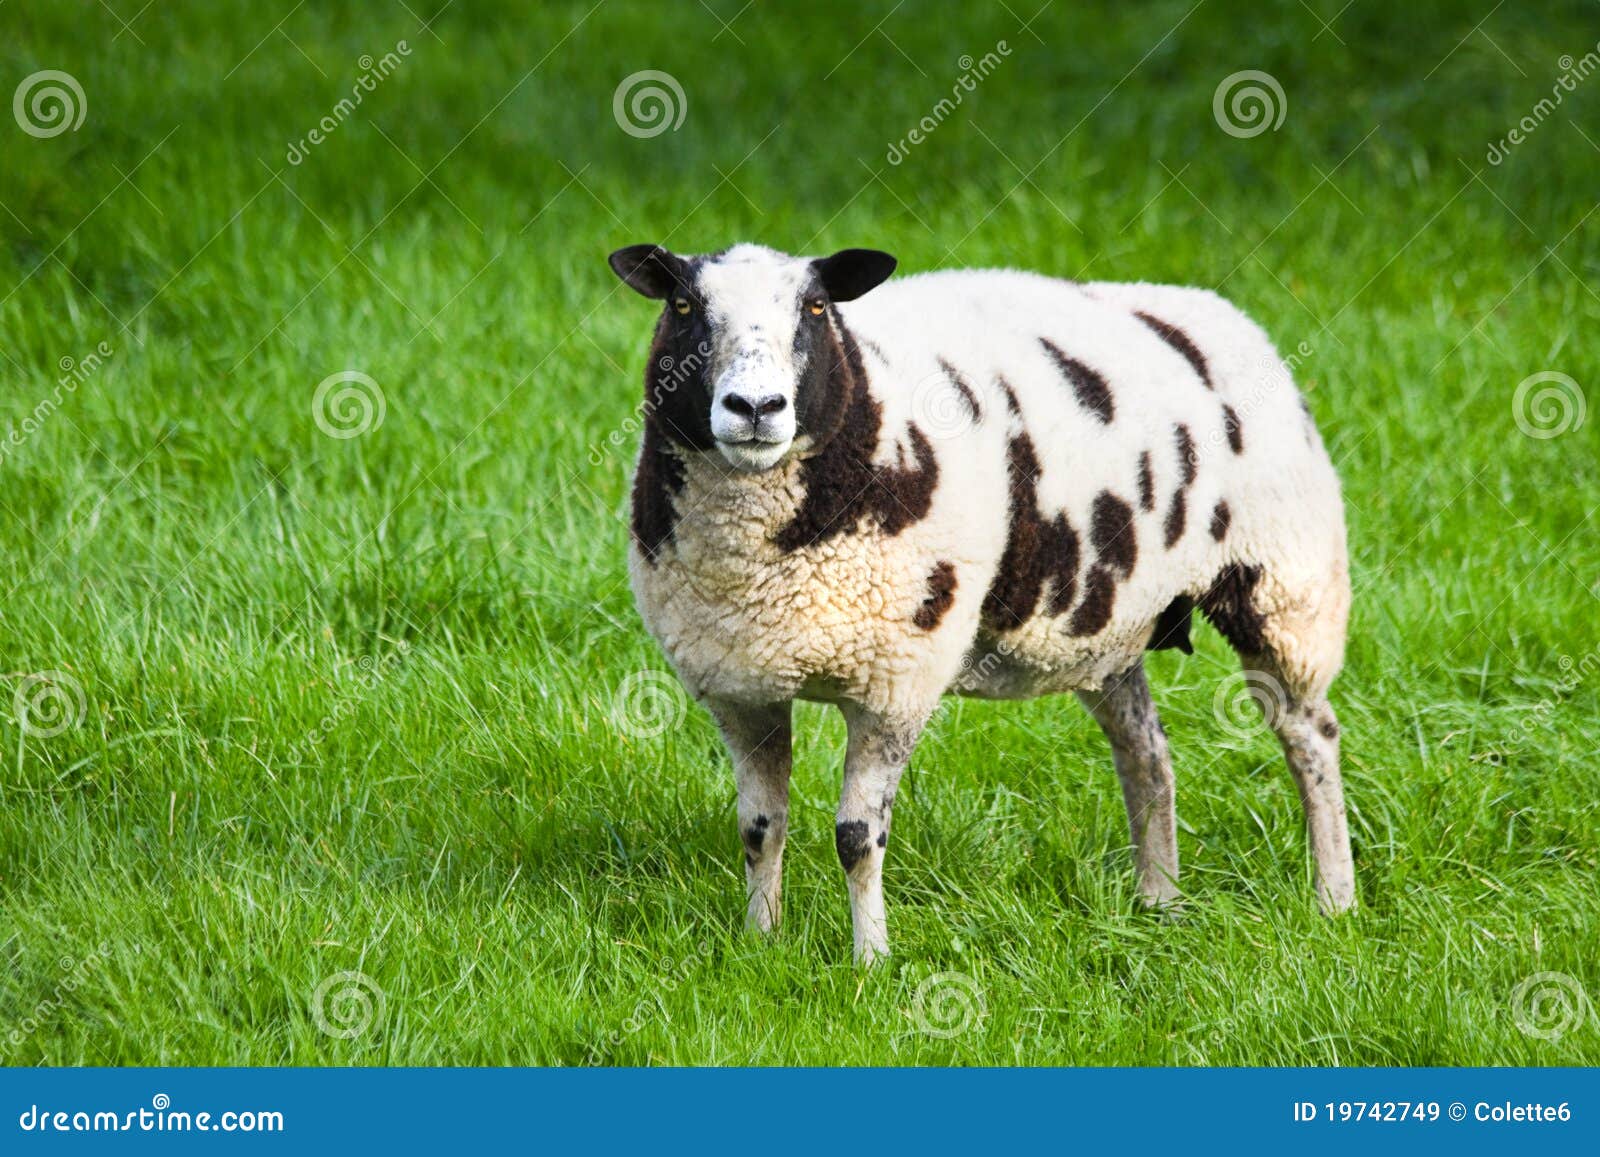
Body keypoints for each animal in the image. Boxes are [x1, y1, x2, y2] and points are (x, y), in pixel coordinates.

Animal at [607, 241, 1354, 963]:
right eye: (683, 305)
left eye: (816, 307)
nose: (756, 408)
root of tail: (1225, 314)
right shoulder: (742, 687)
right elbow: (760, 828)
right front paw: (758, 945)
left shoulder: (895, 685)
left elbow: (856, 837)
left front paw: (871, 960)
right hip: (1109, 623)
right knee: (1146, 753)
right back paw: (1160, 899)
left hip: (1286, 581)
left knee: (1310, 736)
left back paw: (1333, 899)